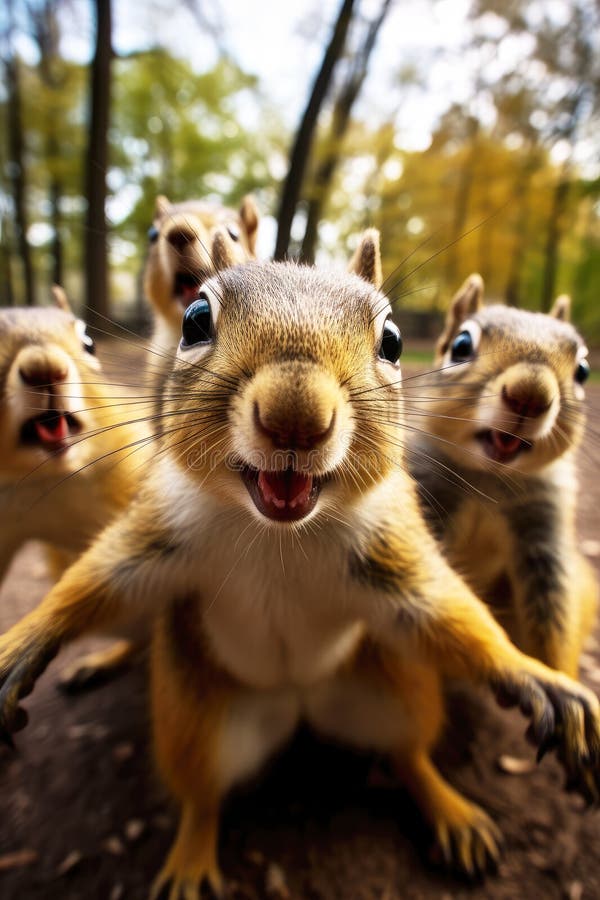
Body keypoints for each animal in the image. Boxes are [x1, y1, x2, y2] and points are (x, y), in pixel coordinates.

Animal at [407, 274, 598, 678]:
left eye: (583, 371)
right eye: (461, 345)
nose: (530, 395)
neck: (489, 480)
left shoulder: (542, 529)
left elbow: (552, 617)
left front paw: (558, 678)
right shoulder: (429, 499)